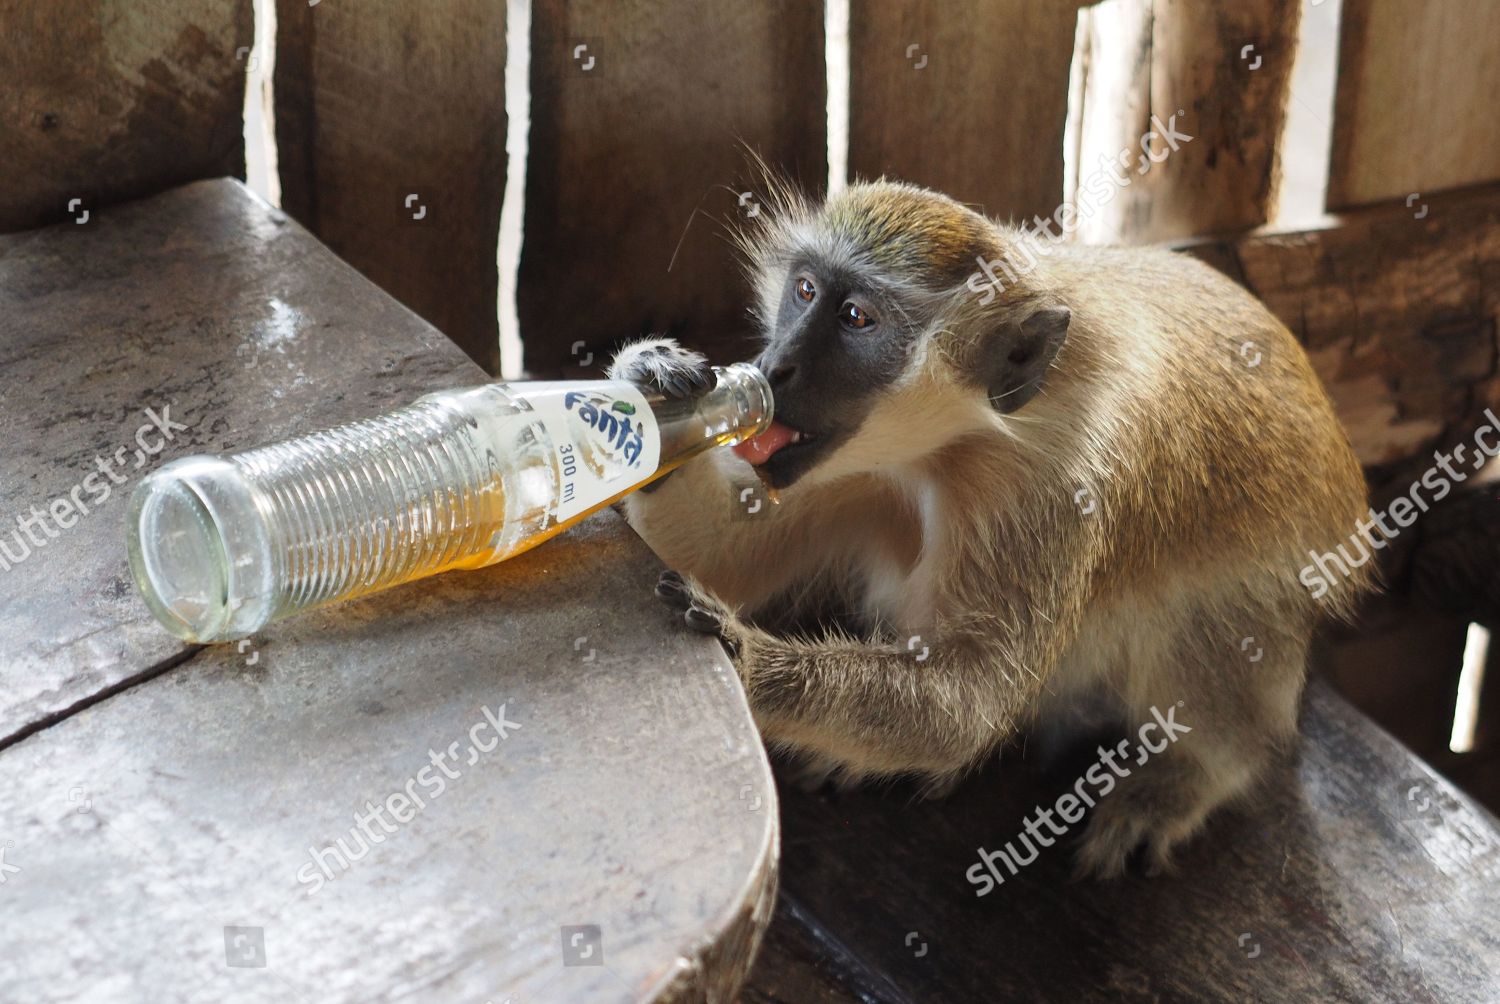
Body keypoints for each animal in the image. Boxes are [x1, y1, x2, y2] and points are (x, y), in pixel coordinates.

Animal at [607, 178, 1373, 877]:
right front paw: (646, 383)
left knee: (1213, 629)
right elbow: (717, 551)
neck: (955, 448)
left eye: (855, 317)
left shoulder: (1053, 489)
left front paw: (745, 657)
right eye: (803, 290)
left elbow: (968, 707)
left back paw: (1190, 776)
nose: (774, 366)